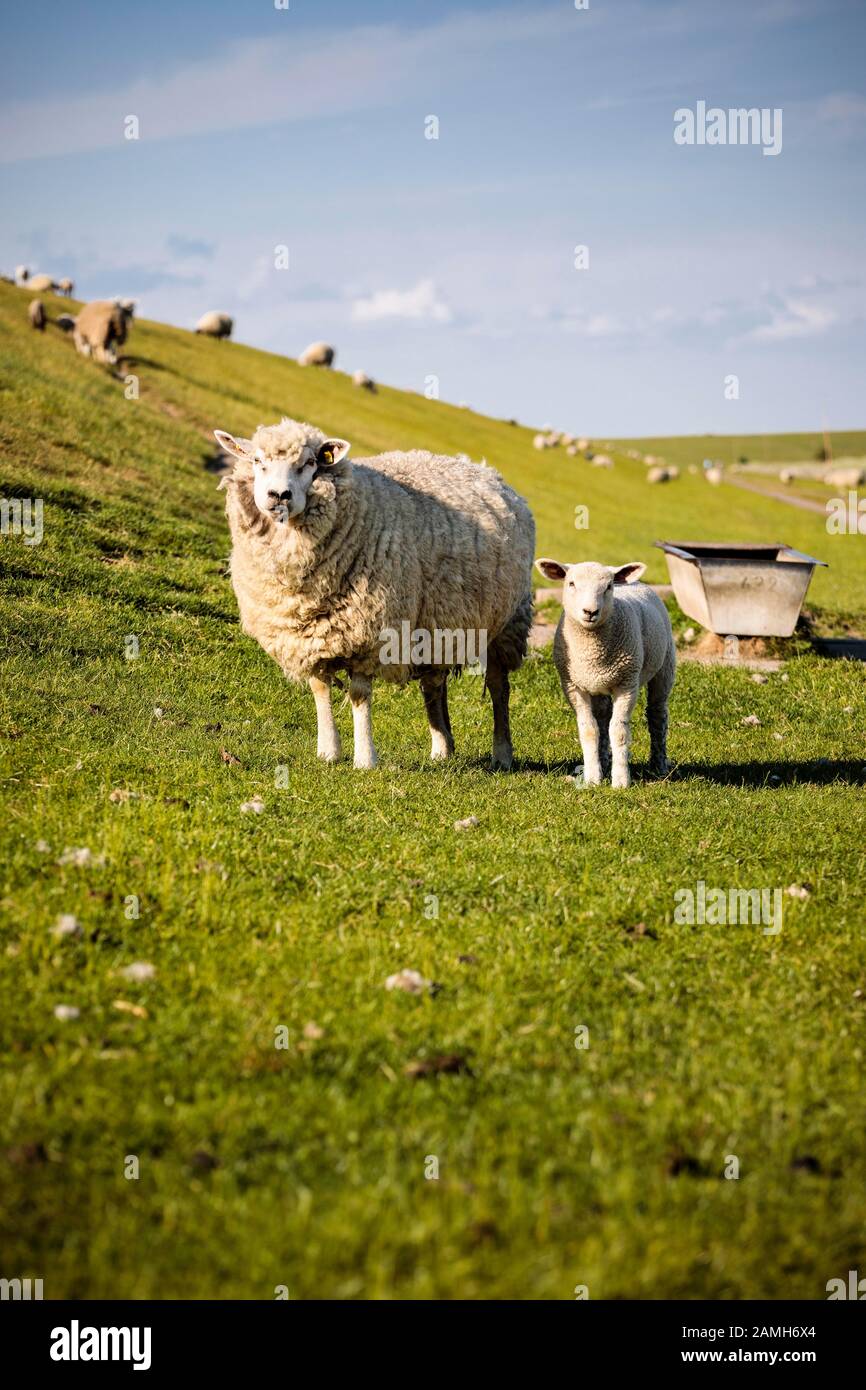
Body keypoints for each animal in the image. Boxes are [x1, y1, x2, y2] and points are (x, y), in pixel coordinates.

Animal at [213, 416, 535, 771]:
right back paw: (442, 748)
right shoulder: (309, 639)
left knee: (498, 686)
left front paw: (365, 757)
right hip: (436, 620)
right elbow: (320, 689)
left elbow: (359, 695)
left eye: (309, 463)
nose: (279, 495)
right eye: (258, 461)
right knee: (434, 684)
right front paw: (328, 751)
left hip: (507, 623)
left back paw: (502, 753)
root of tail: (487, 471)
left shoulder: (367, 636)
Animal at [536, 558, 675, 788]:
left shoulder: (627, 684)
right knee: (602, 718)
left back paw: (659, 764)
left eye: (608, 586)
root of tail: (637, 582)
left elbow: (618, 731)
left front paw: (621, 781)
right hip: (599, 685)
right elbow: (590, 730)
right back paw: (603, 760)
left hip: (665, 666)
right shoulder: (573, 686)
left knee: (657, 715)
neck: (592, 652)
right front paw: (593, 778)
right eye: (571, 583)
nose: (590, 612)